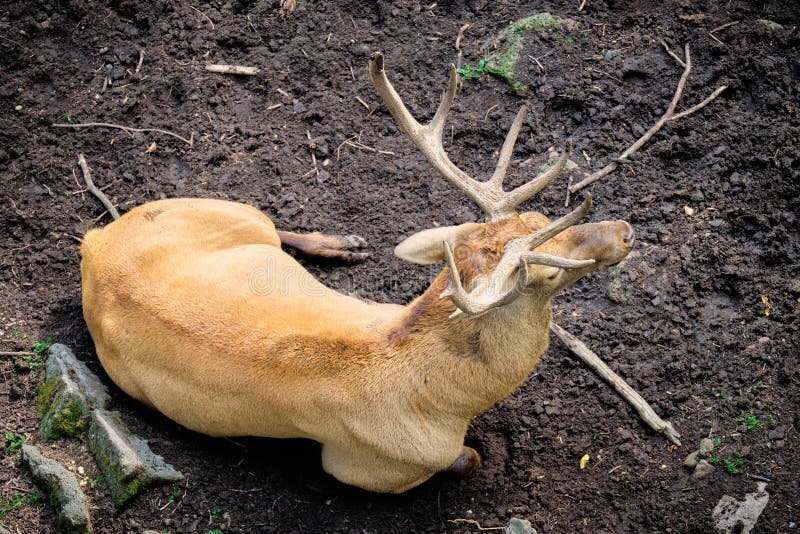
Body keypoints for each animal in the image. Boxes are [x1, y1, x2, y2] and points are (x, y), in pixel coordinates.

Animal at [80, 53, 634, 493]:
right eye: (548, 273)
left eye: (538, 218)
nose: (625, 230)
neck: (450, 401)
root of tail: (93, 241)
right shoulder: (369, 469)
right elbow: (472, 459)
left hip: (222, 208)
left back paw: (343, 245)